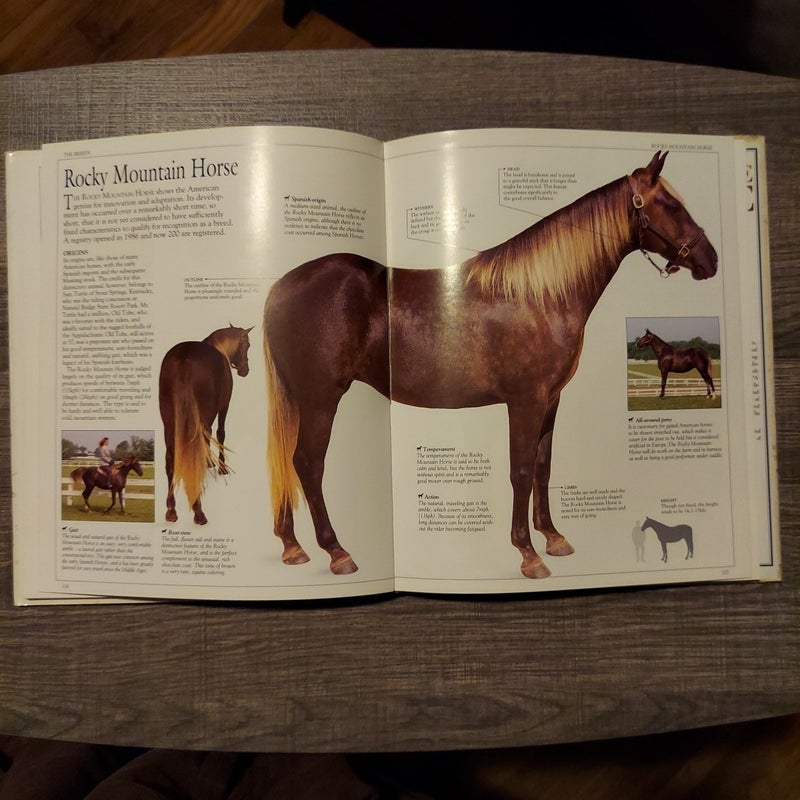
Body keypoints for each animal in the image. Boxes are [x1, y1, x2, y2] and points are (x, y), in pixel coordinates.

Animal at [159, 324, 252, 525]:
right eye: (247, 344)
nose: (245, 370)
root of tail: (184, 360)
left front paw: (209, 462)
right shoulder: (224, 406)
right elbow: (220, 433)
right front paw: (221, 467)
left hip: (169, 423)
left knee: (170, 460)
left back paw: (171, 510)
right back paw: (199, 512)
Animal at [263, 151, 718, 578]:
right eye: (671, 205)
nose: (710, 260)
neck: (540, 296)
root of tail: (281, 286)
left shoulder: (551, 400)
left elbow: (542, 467)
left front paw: (553, 537)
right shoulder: (525, 401)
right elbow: (520, 471)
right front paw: (528, 553)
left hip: (300, 399)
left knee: (287, 459)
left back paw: (292, 547)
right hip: (321, 399)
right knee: (307, 463)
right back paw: (337, 552)